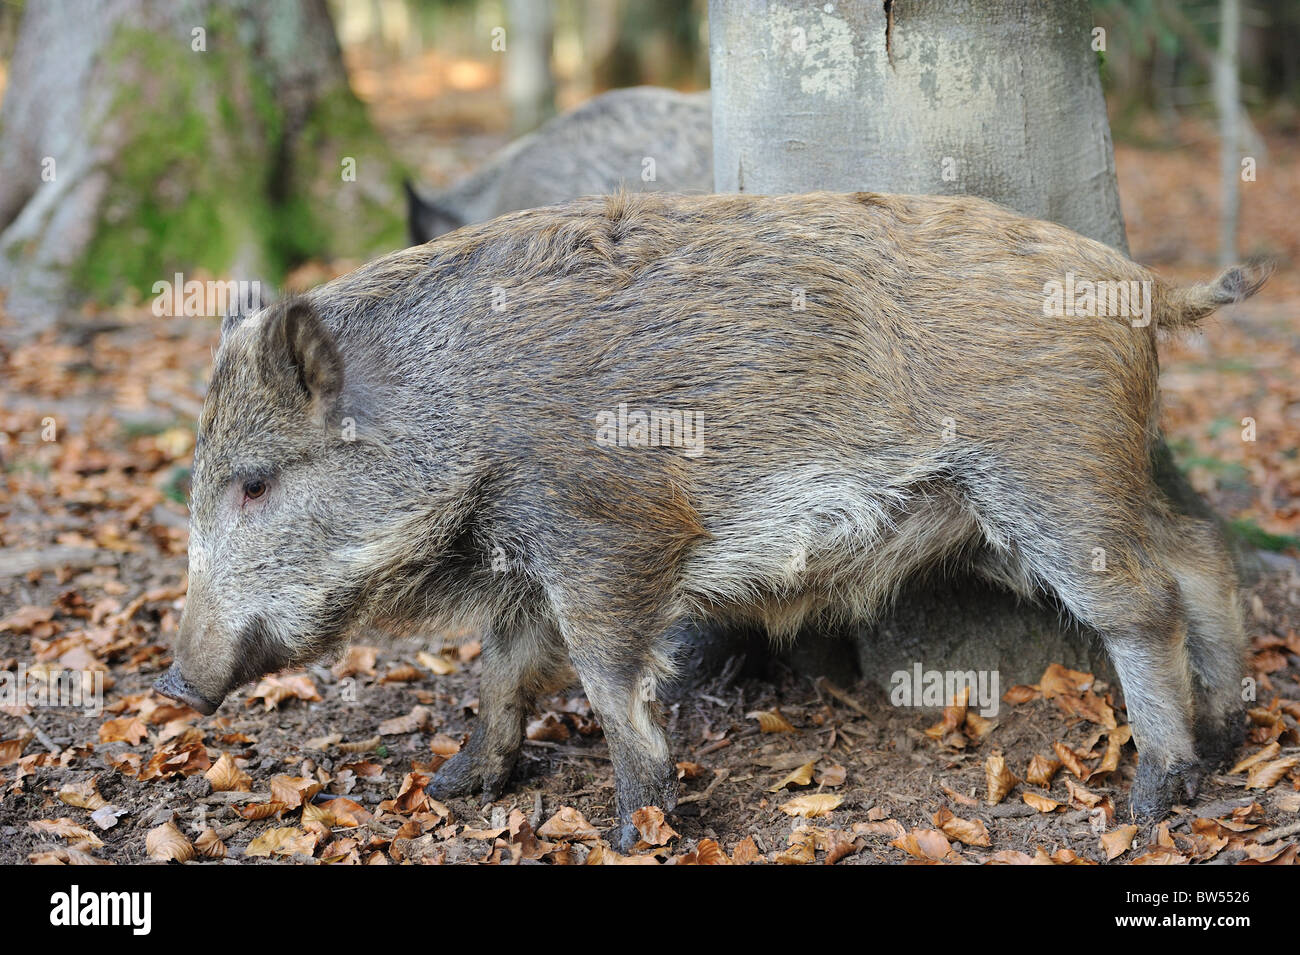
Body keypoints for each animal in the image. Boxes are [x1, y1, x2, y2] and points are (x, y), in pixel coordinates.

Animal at [155, 190, 1268, 849]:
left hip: (1051, 473)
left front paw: (637, 827)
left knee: (1142, 603)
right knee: (1201, 547)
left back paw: (1155, 794)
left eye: (254, 483)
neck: (456, 418)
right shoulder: (524, 560)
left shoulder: (610, 533)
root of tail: (1141, 287)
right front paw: (460, 782)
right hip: (1085, 481)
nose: (171, 682)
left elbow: (606, 675)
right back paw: (1224, 737)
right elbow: (502, 668)